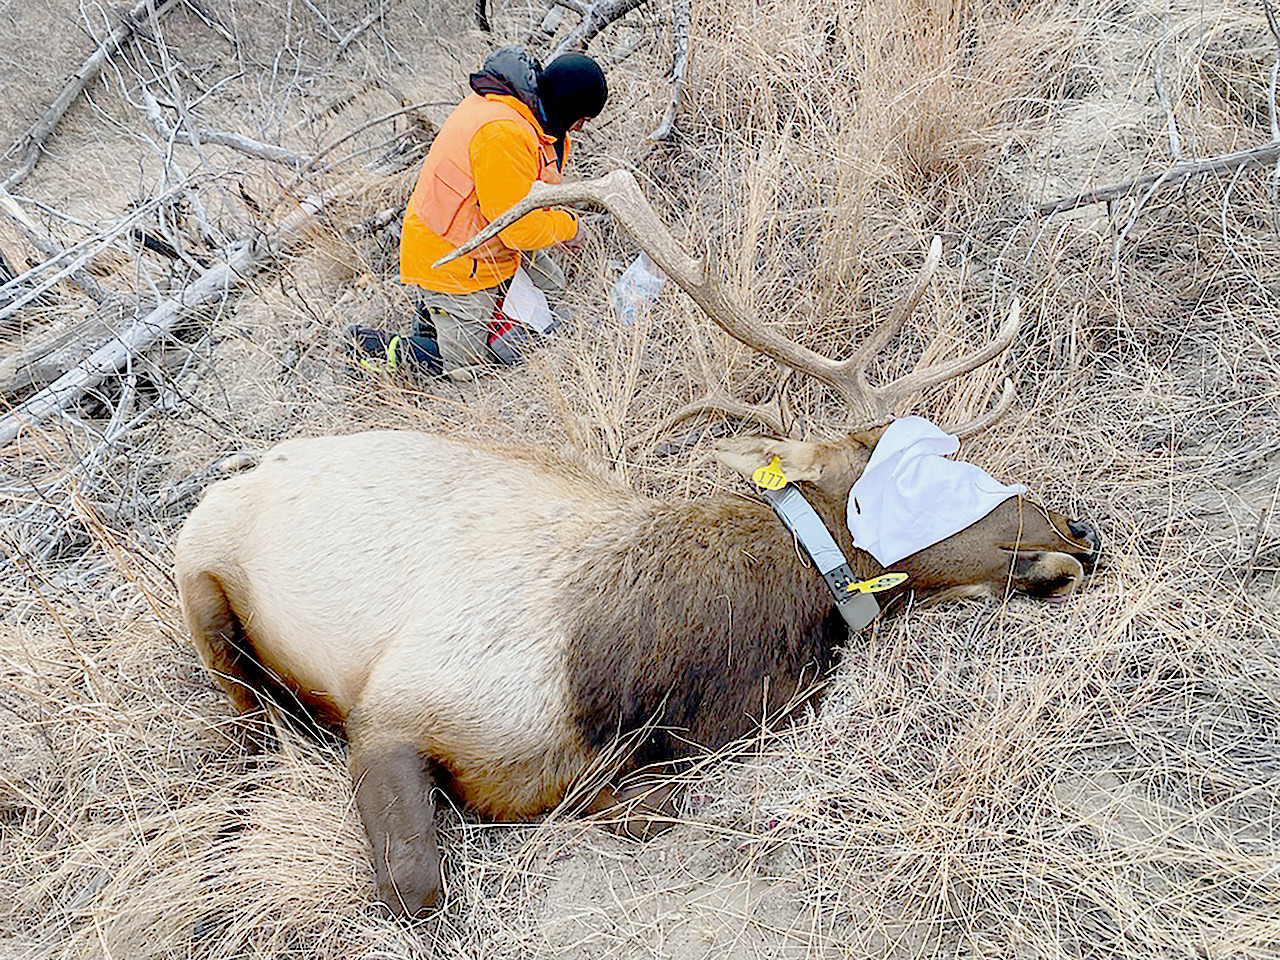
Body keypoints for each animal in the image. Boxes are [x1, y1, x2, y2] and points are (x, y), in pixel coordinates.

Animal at [174, 171, 1100, 918]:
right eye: (901, 480)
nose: (1073, 534)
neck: (636, 681)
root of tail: (244, 467)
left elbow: (645, 806)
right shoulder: (392, 712)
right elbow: (415, 888)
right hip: (200, 583)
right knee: (247, 718)